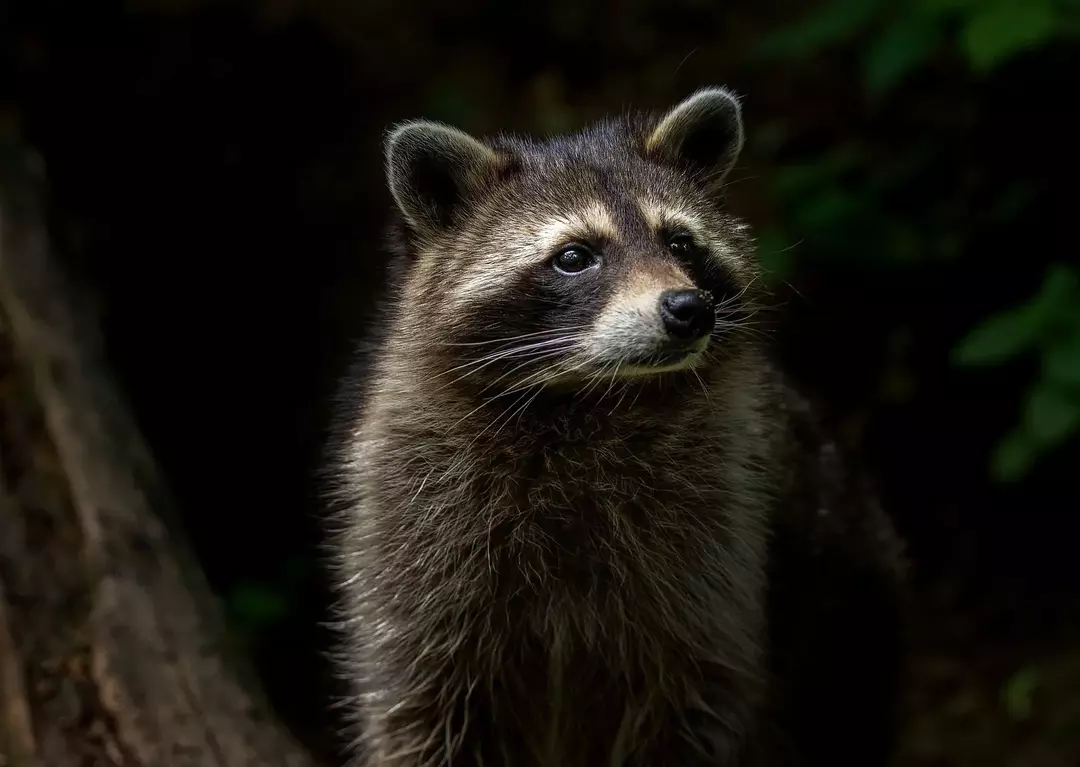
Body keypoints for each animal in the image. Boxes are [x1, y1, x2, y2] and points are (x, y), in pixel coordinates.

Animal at [324, 88, 907, 767]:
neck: (588, 399)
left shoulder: (715, 537)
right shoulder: (412, 529)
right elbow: (422, 706)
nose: (689, 309)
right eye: (574, 257)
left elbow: (695, 697)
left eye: (680, 244)